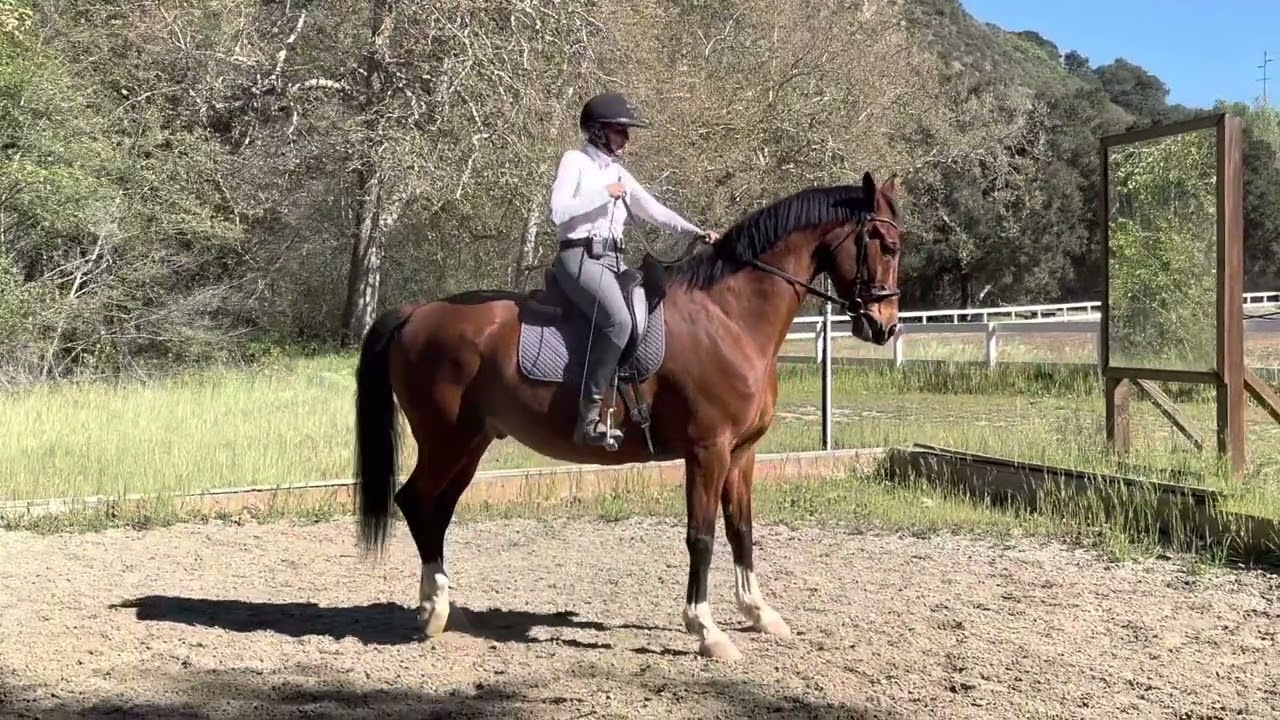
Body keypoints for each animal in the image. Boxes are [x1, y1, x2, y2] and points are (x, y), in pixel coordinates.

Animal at [352, 171, 903, 661]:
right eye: (886, 244)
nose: (885, 326)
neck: (729, 318)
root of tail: (418, 311)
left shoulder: (742, 453)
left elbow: (741, 530)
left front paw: (759, 613)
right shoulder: (707, 451)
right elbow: (701, 536)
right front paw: (707, 631)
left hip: (471, 443)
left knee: (437, 509)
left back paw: (447, 609)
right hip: (446, 440)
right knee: (416, 501)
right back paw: (435, 611)